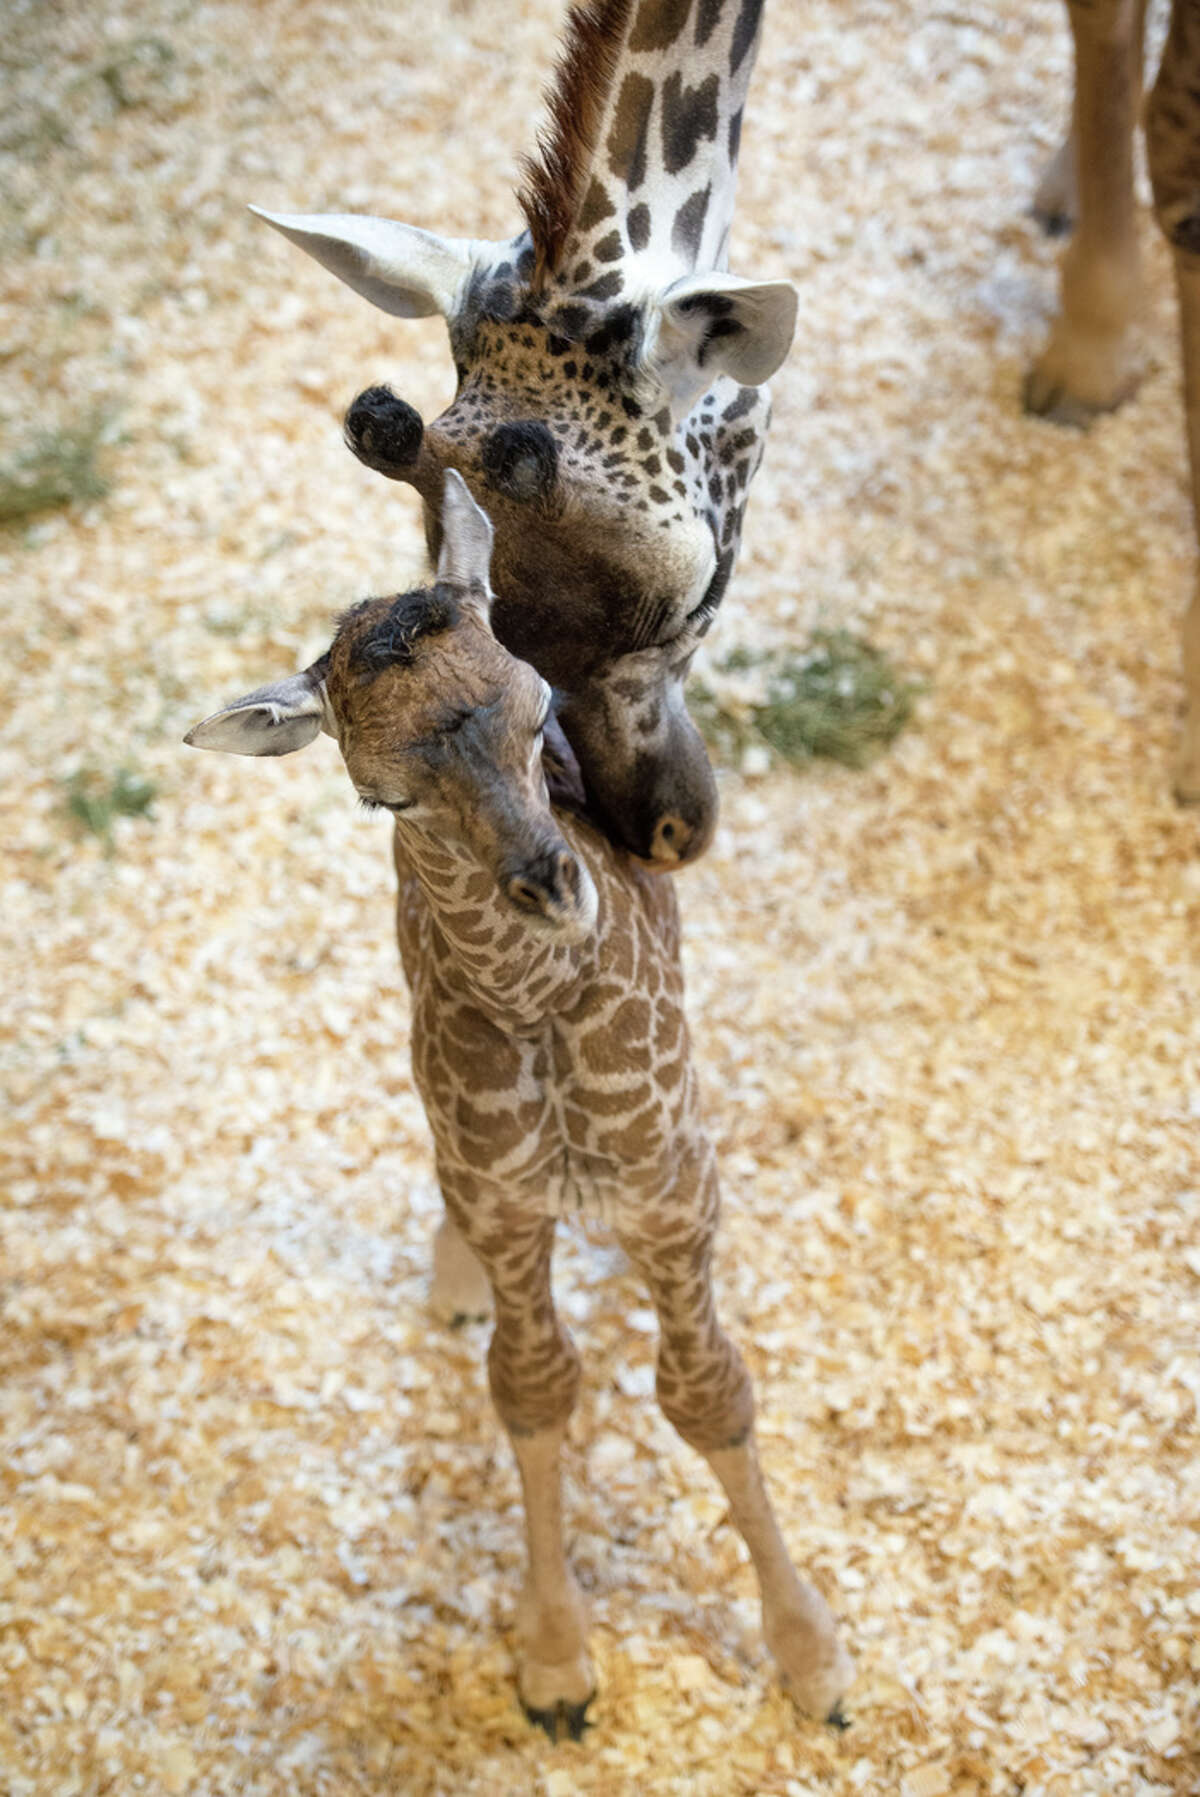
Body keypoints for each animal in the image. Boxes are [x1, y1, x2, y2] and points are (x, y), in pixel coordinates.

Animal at [185, 470, 855, 1736]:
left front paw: (814, 1665)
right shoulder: (510, 1205)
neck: (543, 1015)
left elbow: (707, 1392)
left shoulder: (672, 1193)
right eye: (381, 795)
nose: (555, 887)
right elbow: (532, 1386)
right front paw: (553, 1668)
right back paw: (448, 1281)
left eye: (538, 705)